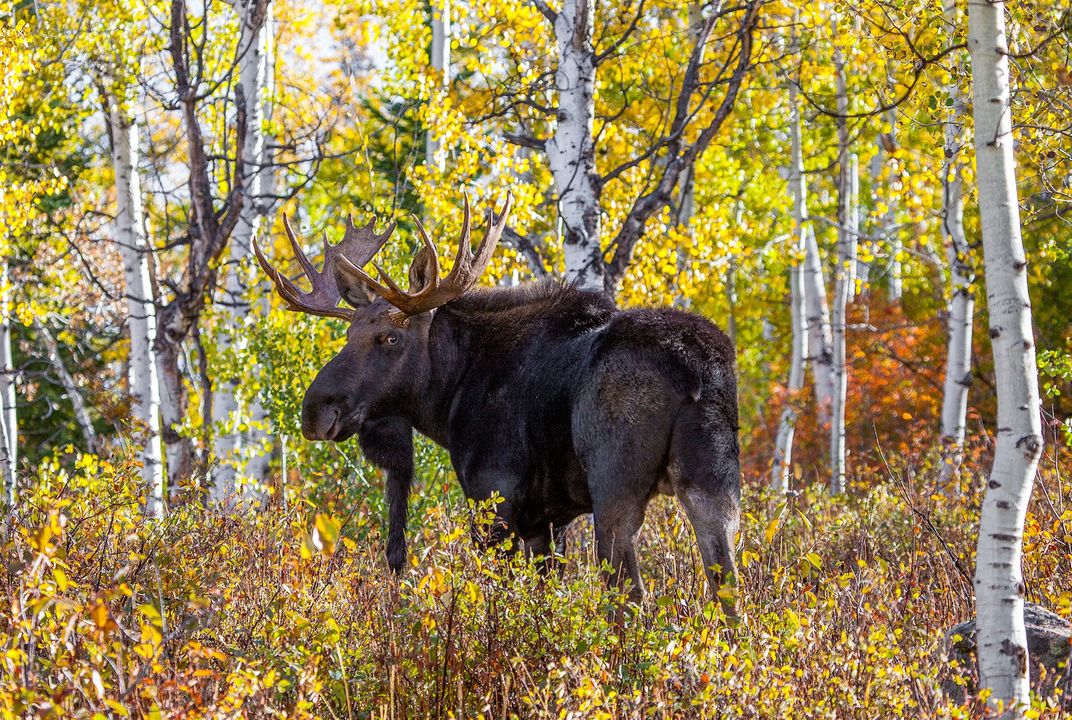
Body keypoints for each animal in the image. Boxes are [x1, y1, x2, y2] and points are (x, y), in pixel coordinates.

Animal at [254, 195, 740, 608]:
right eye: (348, 334)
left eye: (389, 337)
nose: (315, 411)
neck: (450, 396)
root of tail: (693, 368)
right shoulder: (548, 520)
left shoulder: (494, 500)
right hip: (714, 484)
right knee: (727, 589)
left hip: (614, 488)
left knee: (631, 594)